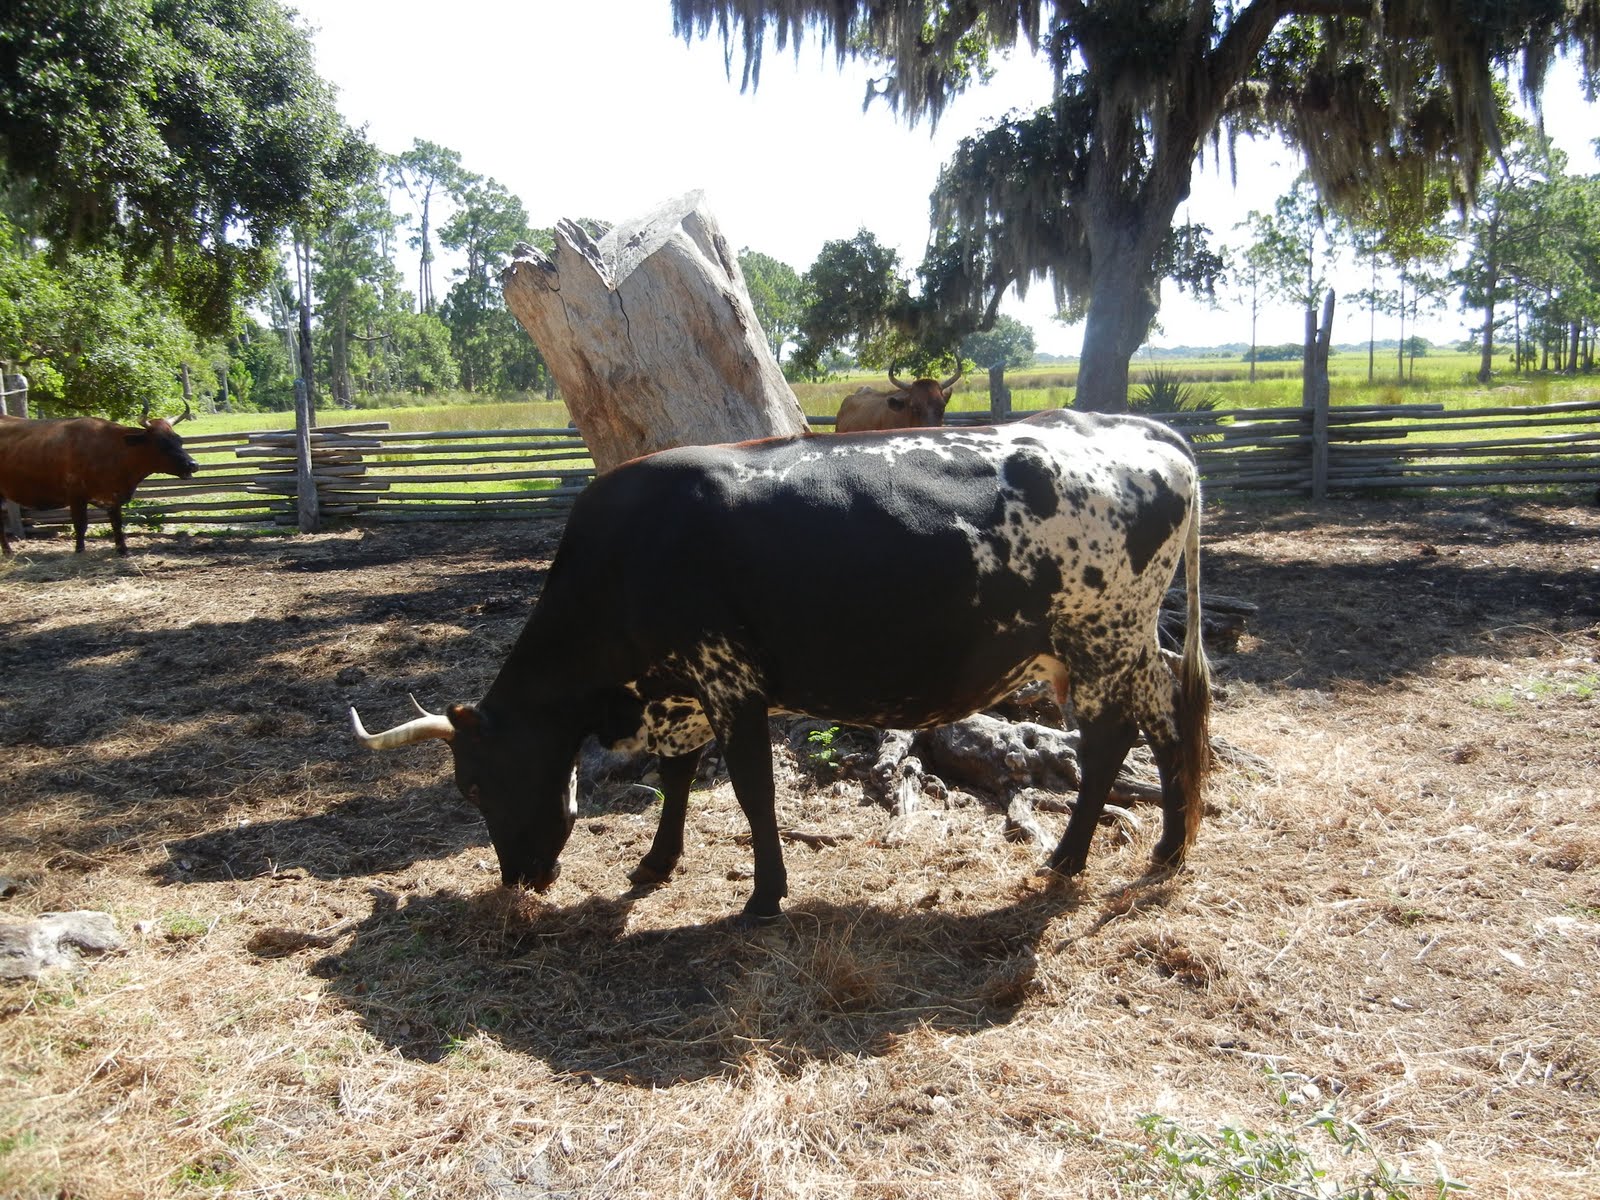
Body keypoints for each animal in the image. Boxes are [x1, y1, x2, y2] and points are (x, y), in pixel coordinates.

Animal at [0, 416, 200, 555]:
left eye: (179, 440)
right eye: (161, 443)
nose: (193, 464)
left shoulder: (113, 496)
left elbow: (117, 523)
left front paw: (123, 550)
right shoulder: (76, 495)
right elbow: (81, 524)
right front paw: (79, 551)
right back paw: (8, 551)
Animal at [351, 409, 1212, 924]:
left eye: (472, 784)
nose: (518, 879)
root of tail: (1140, 429)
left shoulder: (729, 679)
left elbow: (751, 790)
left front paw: (765, 894)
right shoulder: (684, 690)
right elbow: (677, 779)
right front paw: (656, 862)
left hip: (1101, 640)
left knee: (1110, 743)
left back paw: (1067, 859)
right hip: (1118, 646)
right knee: (1171, 722)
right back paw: (1171, 847)